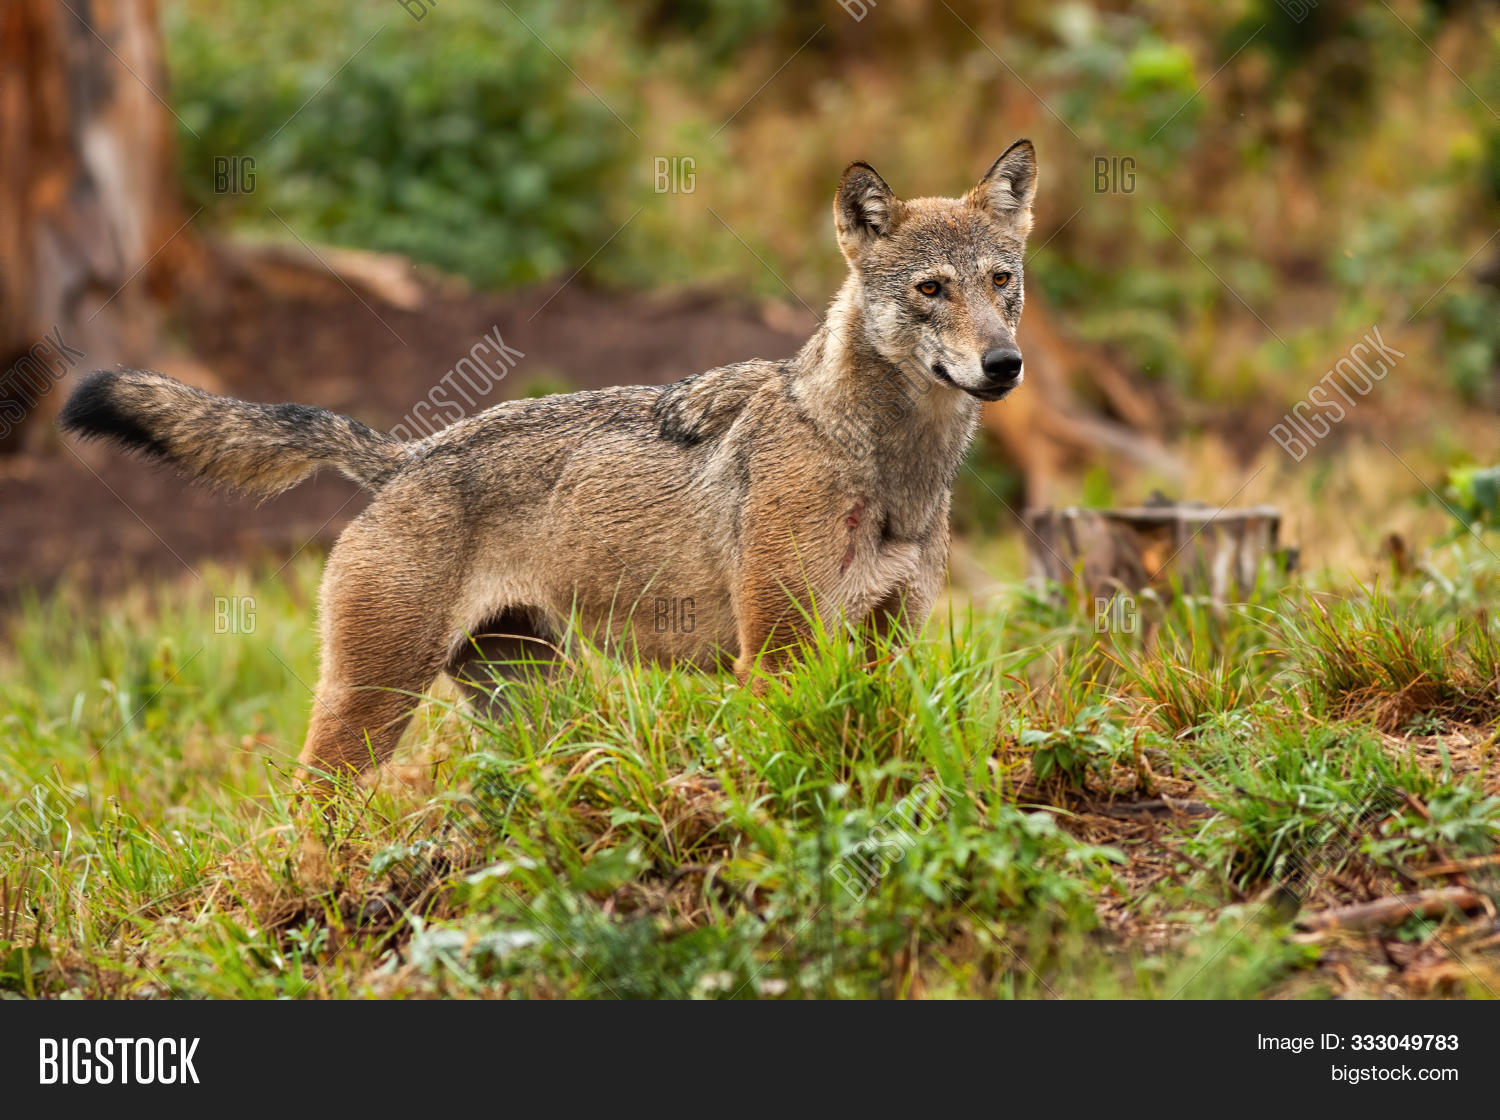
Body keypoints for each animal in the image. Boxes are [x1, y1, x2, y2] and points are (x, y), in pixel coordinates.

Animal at [59, 139, 1037, 787]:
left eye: (1000, 282)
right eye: (931, 289)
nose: (1004, 364)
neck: (891, 467)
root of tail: (404, 454)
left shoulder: (888, 647)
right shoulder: (779, 655)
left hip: (540, 707)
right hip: (374, 704)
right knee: (308, 809)